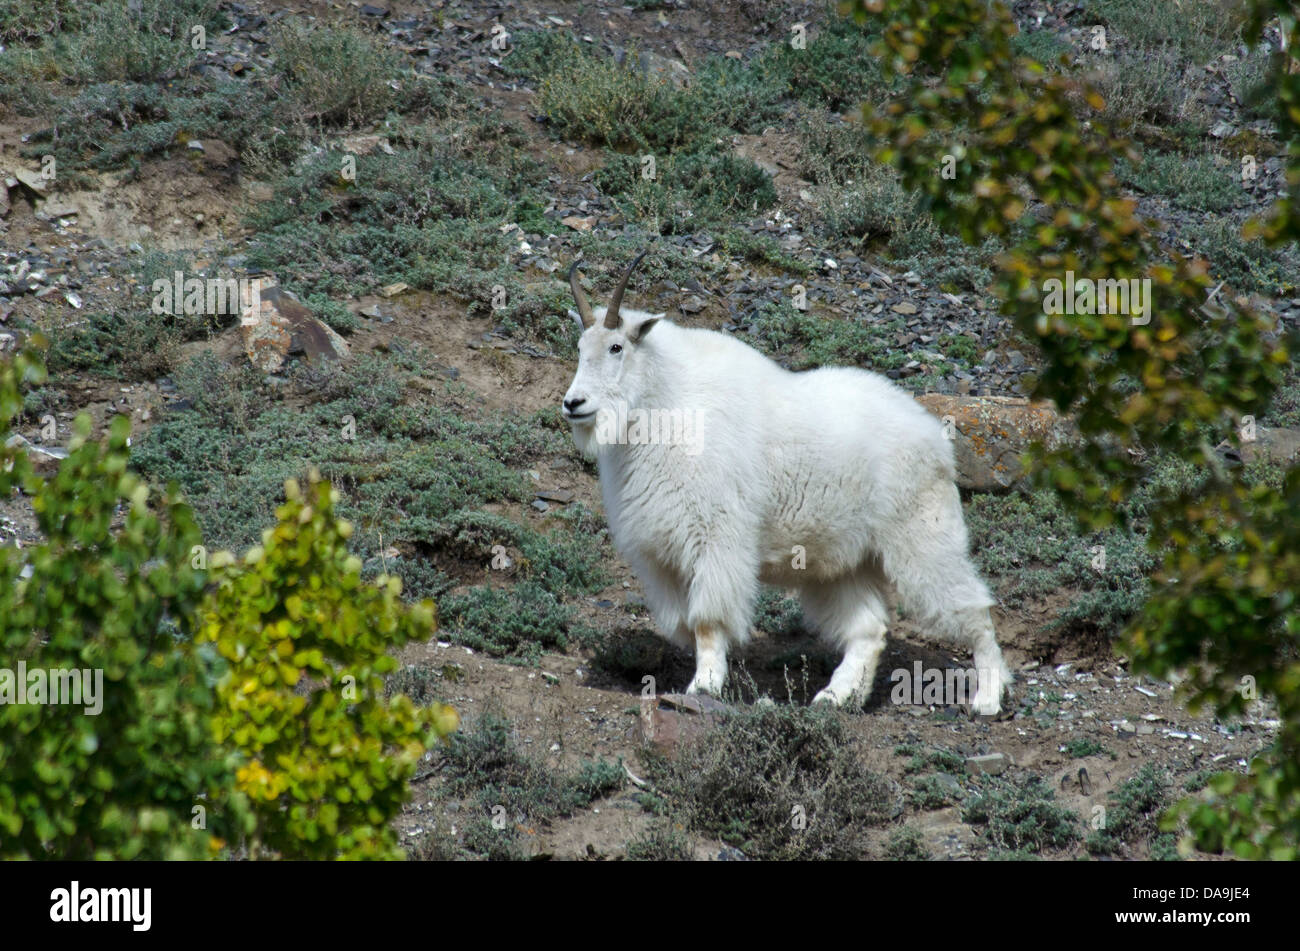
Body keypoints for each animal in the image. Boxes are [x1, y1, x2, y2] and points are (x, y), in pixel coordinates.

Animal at [562, 253, 1012, 714]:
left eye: (616, 347)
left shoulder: (716, 538)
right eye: (580, 349)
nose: (573, 404)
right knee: (868, 629)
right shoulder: (661, 557)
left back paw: (987, 697)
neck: (665, 404)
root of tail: (935, 438)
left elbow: (706, 620)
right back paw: (837, 696)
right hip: (845, 562)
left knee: (973, 609)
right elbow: (683, 622)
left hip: (923, 535)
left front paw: (704, 685)